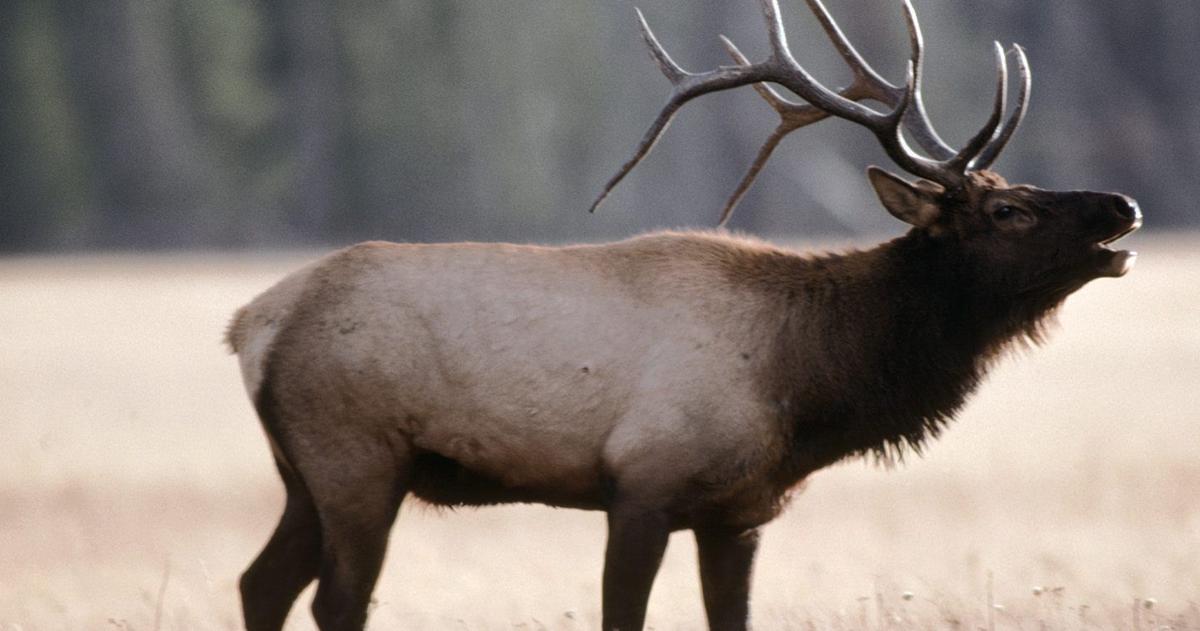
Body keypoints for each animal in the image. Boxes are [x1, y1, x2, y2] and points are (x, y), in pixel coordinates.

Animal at [227, 1, 1141, 630]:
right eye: (1007, 211)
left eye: (1015, 189)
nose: (1123, 206)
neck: (805, 382)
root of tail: (252, 325)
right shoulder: (643, 485)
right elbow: (620, 615)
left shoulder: (738, 512)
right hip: (357, 459)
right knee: (335, 601)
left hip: (302, 472)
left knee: (260, 582)